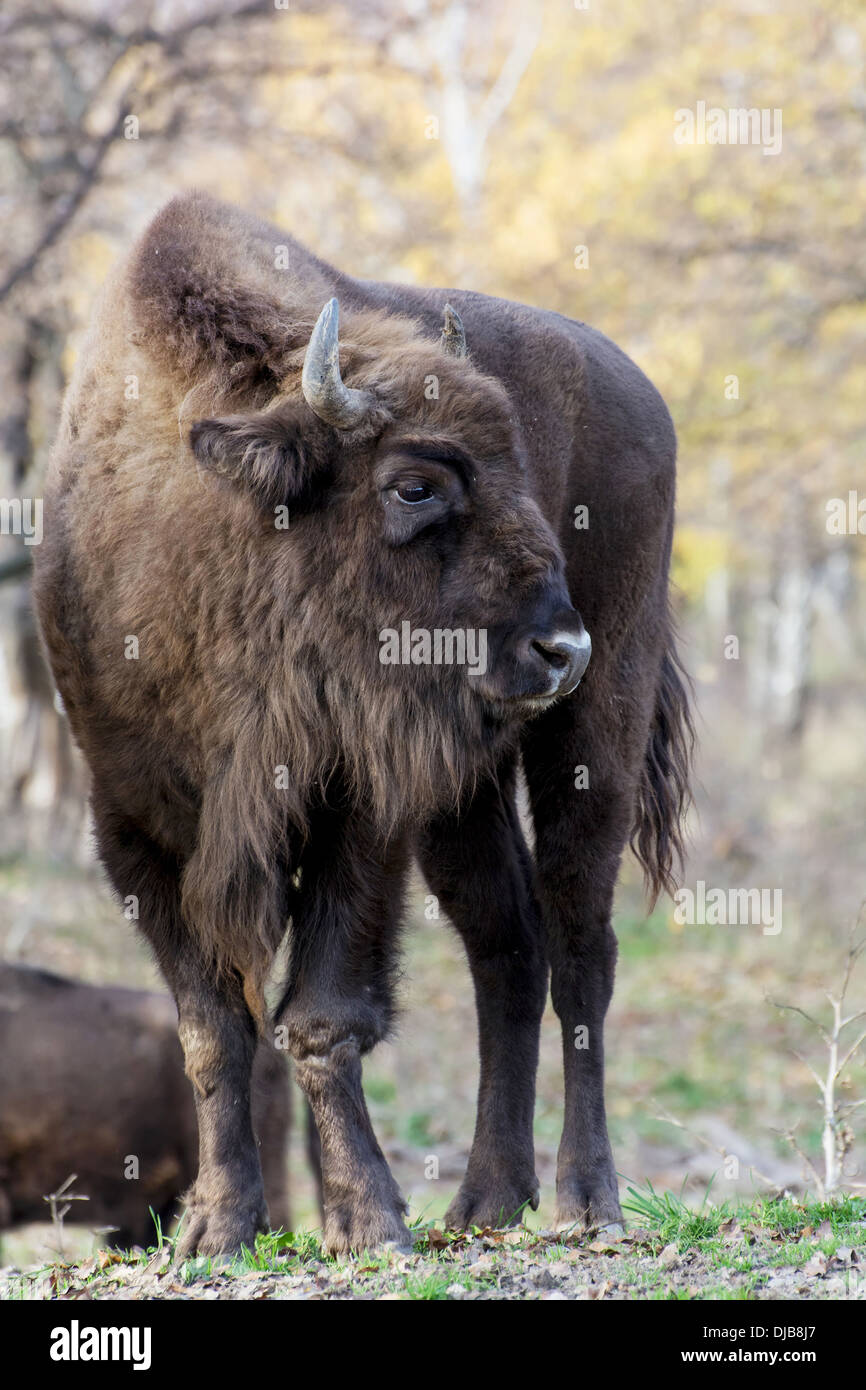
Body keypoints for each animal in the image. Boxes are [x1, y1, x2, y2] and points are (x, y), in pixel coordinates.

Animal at [35, 191, 691, 1256]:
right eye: (415, 484)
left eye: (518, 467)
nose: (560, 648)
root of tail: (641, 392)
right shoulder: (135, 823)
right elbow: (211, 1029)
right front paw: (217, 1227)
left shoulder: (356, 808)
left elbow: (322, 1015)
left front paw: (368, 1218)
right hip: (468, 794)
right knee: (507, 945)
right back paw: (483, 1199)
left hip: (596, 736)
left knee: (580, 946)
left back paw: (586, 1200)